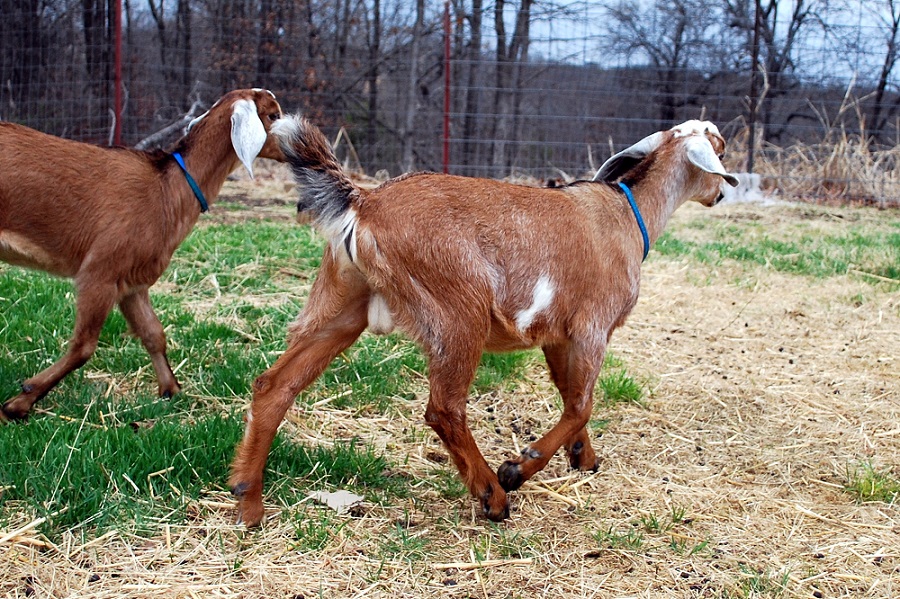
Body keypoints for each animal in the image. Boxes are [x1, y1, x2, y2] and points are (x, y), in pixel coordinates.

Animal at [0, 88, 285, 420]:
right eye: (273, 115)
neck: (167, 190)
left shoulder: (132, 282)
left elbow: (153, 333)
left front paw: (170, 390)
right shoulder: (101, 272)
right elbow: (84, 346)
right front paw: (20, 402)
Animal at [229, 116, 738, 526]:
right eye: (721, 146)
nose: (721, 192)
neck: (627, 214)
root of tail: (363, 204)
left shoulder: (556, 335)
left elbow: (571, 396)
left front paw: (584, 458)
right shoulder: (592, 326)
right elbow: (582, 404)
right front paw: (519, 467)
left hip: (341, 305)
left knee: (274, 386)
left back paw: (248, 503)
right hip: (458, 311)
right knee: (444, 408)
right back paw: (492, 496)